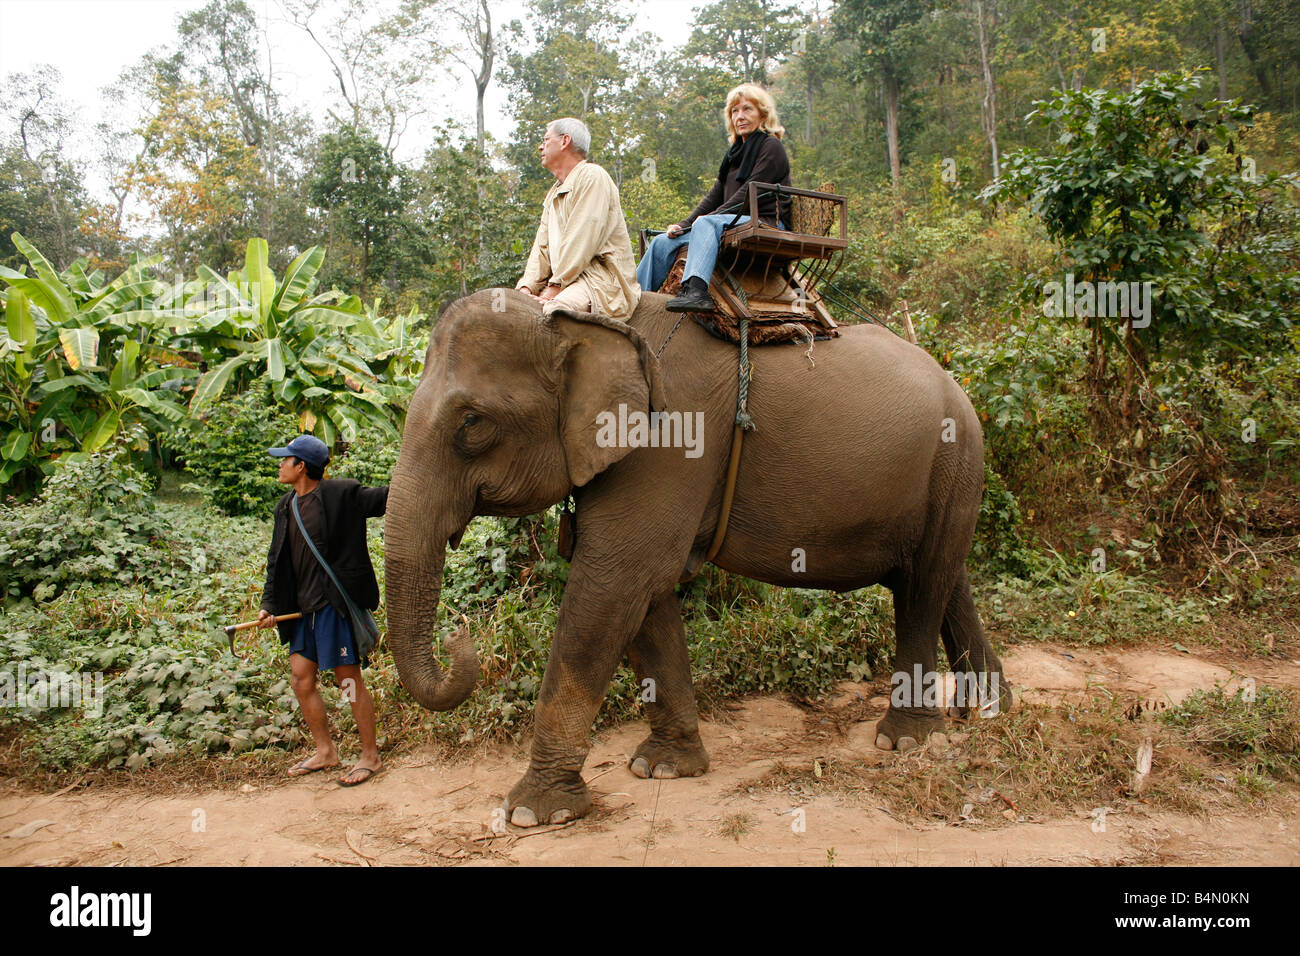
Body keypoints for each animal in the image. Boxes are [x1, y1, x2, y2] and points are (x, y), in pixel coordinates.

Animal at [384, 288, 1012, 827]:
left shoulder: (669, 441)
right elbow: (647, 596)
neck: (577, 323)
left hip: (956, 457)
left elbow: (615, 583)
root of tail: (958, 384)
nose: (459, 638)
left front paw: (532, 813)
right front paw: (663, 767)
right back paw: (988, 709)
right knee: (942, 577)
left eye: (472, 423)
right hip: (949, 475)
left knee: (922, 586)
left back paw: (906, 738)